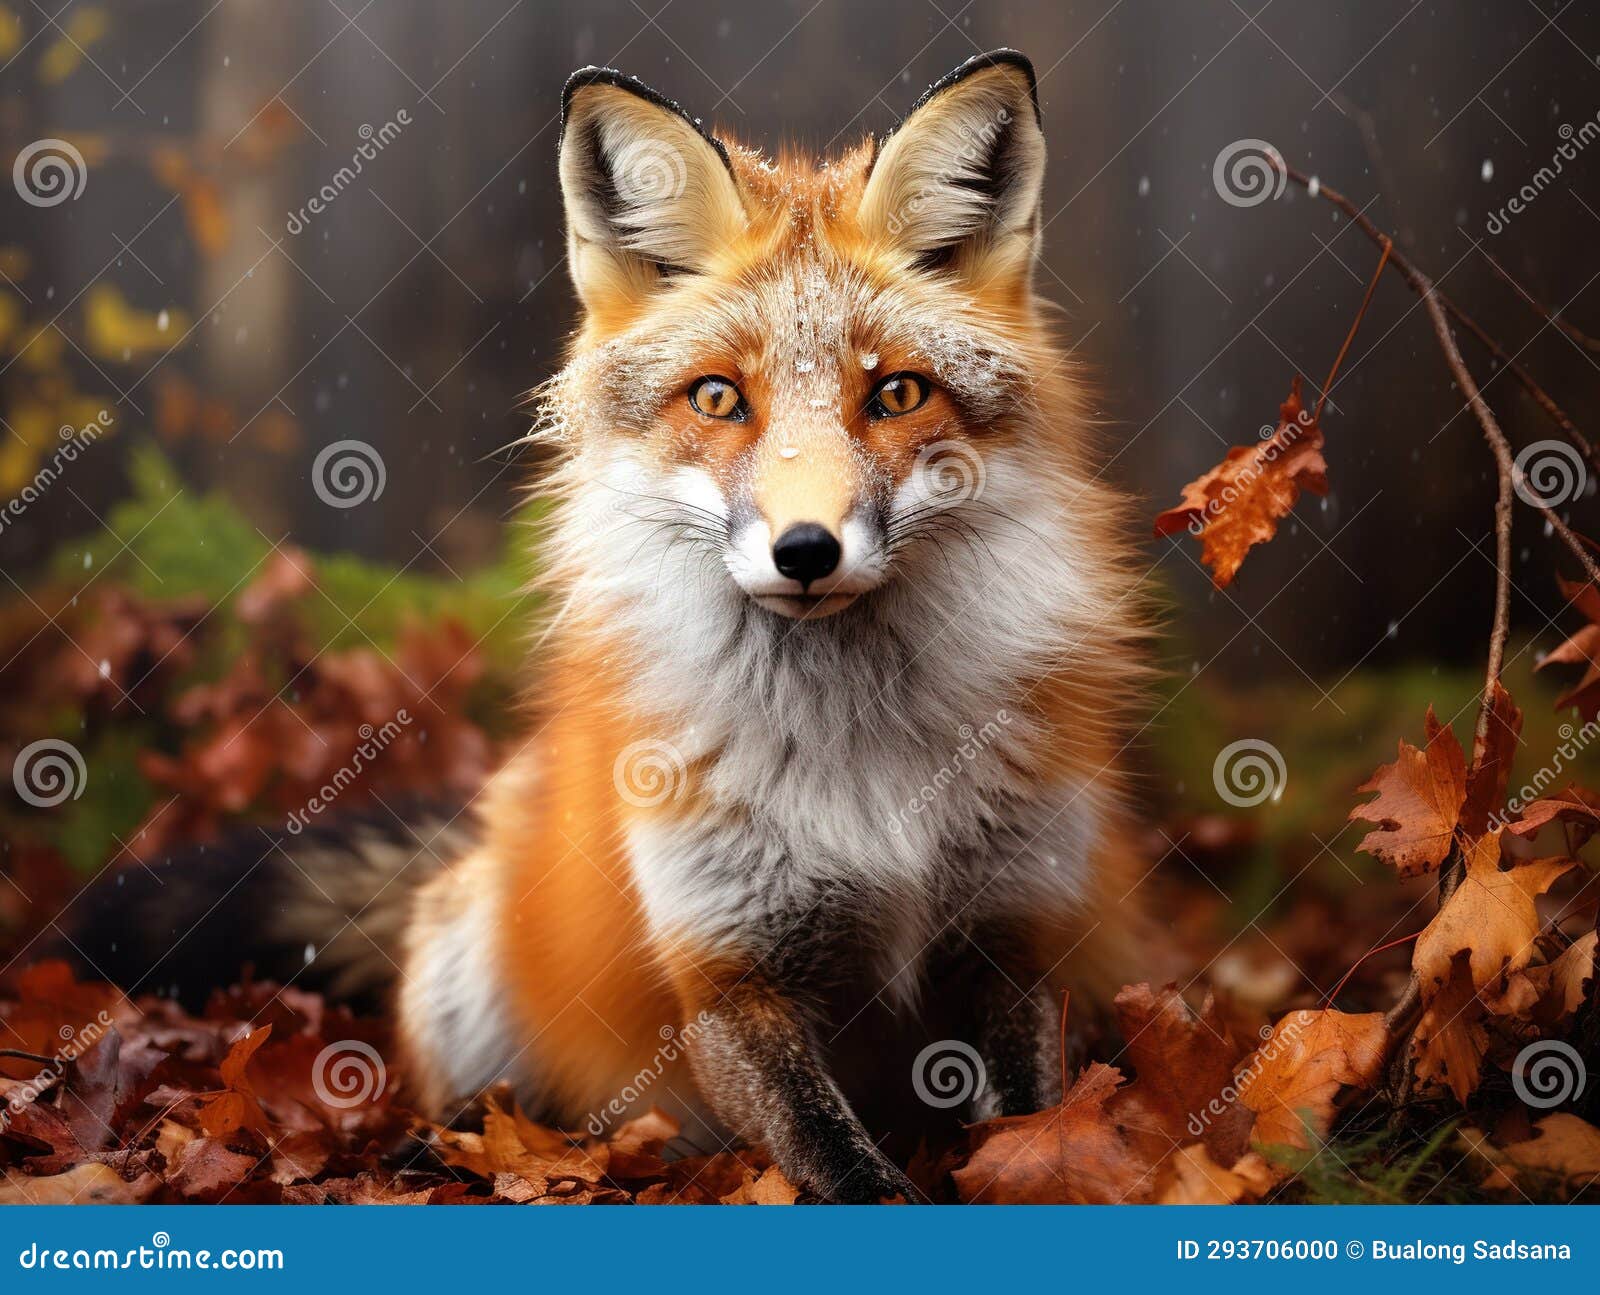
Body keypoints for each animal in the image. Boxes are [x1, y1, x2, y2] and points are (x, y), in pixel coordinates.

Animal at [67, 50, 1155, 1203]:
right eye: (719, 398)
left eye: (897, 394)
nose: (805, 550)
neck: (860, 762)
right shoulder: (727, 969)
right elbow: (840, 1163)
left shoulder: (1016, 930)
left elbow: (1034, 1115)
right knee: (487, 1101)